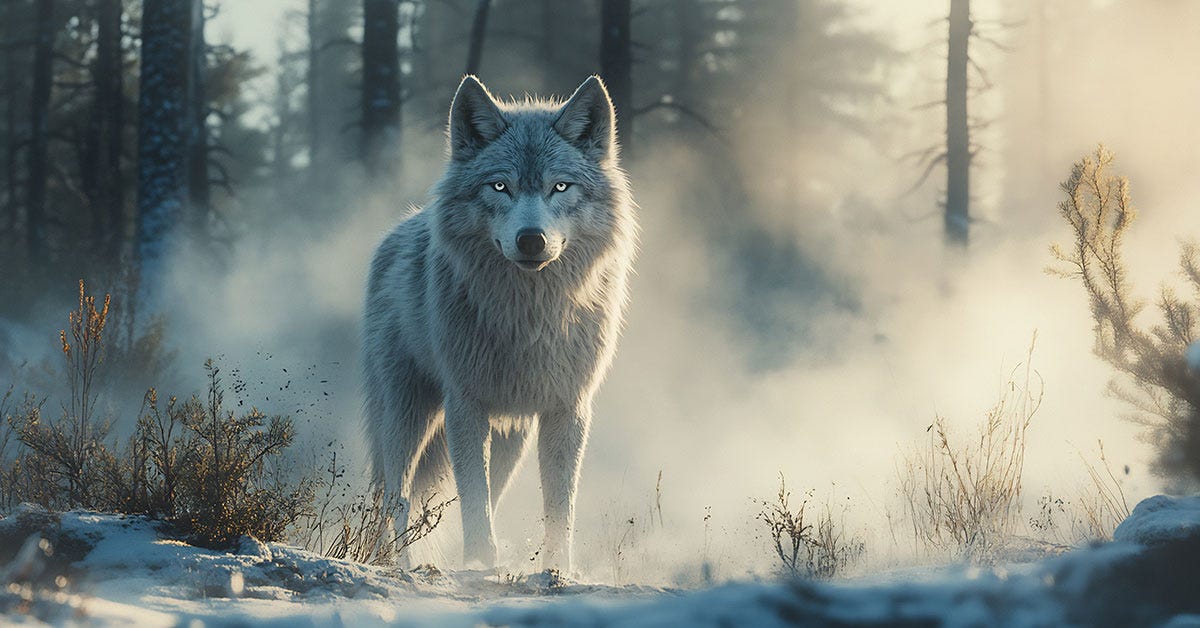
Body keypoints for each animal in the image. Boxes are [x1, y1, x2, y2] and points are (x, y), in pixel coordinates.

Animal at [361, 75, 636, 572]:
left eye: (560, 187)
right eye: (500, 186)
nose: (531, 240)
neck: (528, 320)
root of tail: (398, 228)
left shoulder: (567, 408)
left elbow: (557, 506)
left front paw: (556, 568)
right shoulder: (465, 404)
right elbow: (472, 497)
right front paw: (479, 564)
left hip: (512, 435)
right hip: (405, 415)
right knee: (395, 494)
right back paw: (398, 563)